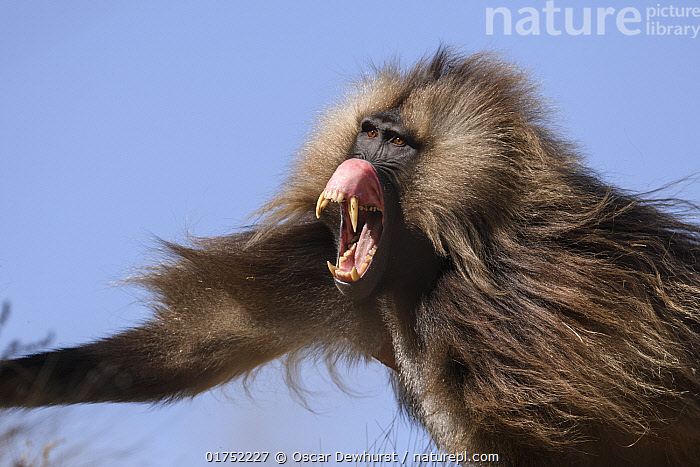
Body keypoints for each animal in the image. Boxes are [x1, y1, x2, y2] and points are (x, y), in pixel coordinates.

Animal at [1, 48, 699, 466]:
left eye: (399, 144)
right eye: (369, 131)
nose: (362, 154)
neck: (431, 268)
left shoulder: (521, 328)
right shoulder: (326, 281)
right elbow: (186, 352)